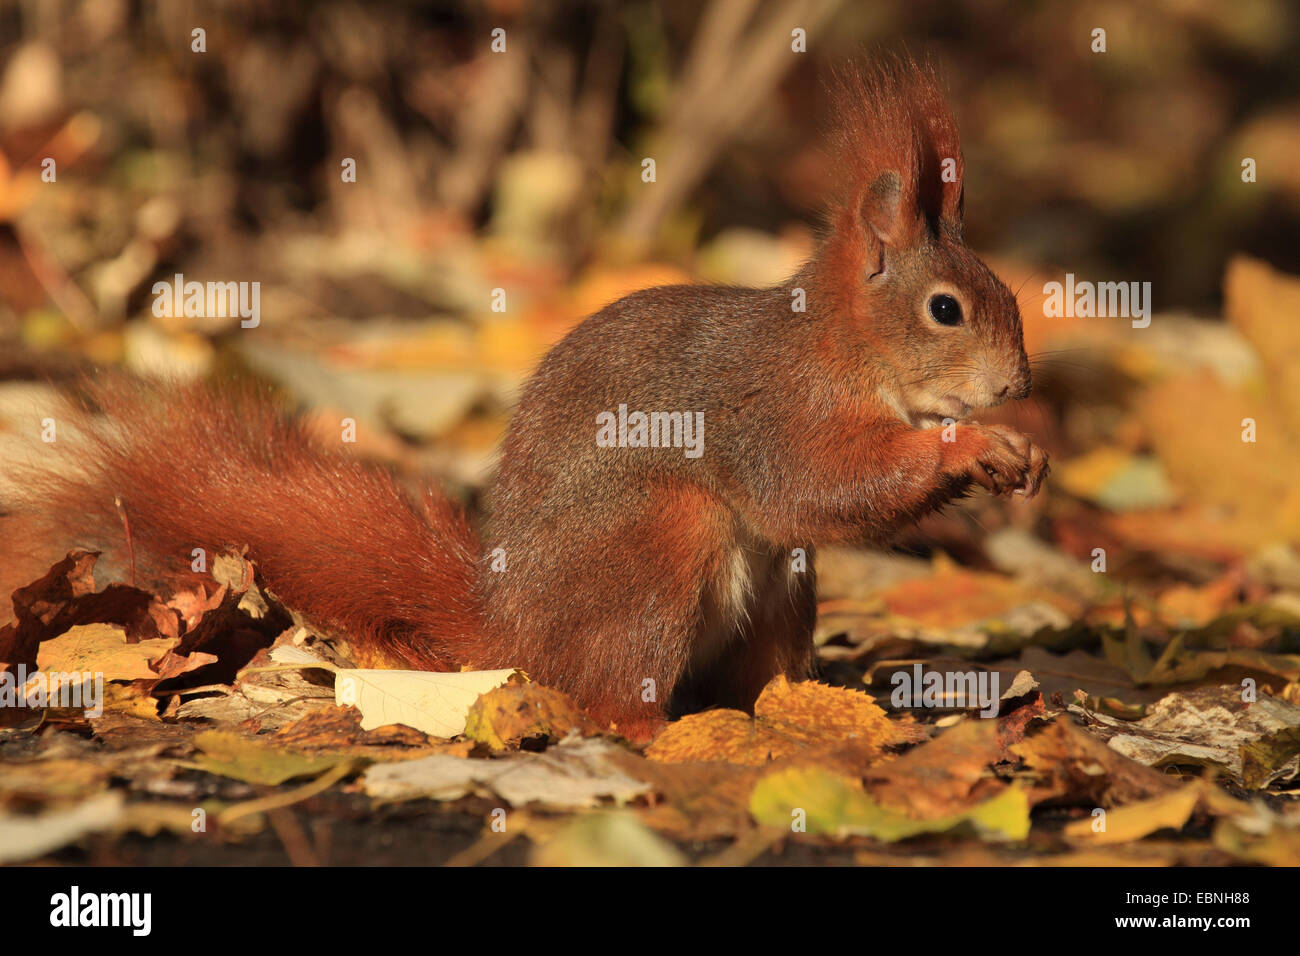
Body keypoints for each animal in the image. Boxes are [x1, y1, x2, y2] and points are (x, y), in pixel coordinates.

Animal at [2, 57, 1047, 741]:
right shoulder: (771, 410)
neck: (839, 346)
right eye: (946, 309)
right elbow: (815, 489)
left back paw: (792, 711)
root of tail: (515, 634)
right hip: (658, 549)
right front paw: (971, 446)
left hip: (781, 591)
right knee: (607, 699)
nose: (1015, 386)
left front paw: (1017, 448)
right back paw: (659, 733)